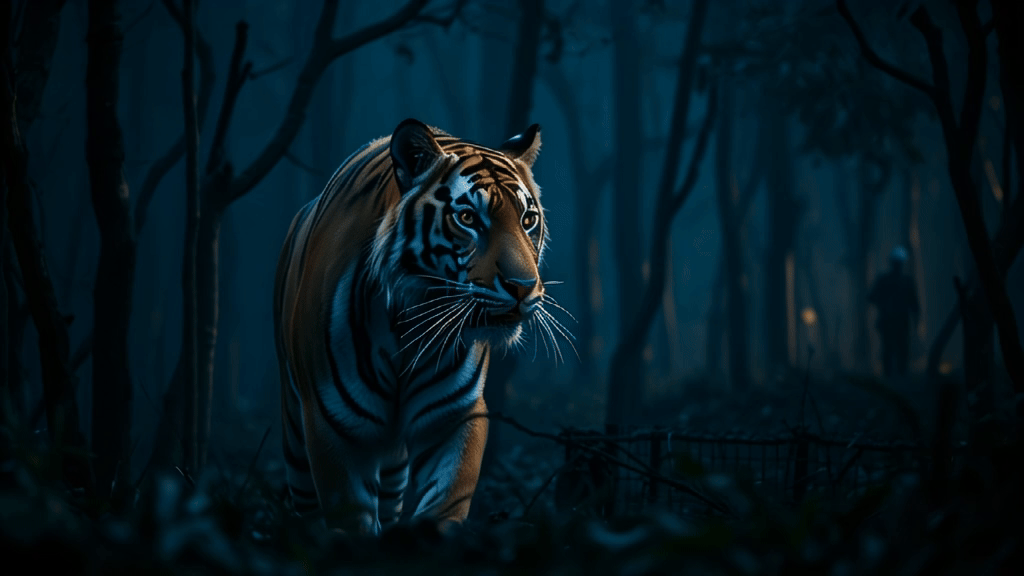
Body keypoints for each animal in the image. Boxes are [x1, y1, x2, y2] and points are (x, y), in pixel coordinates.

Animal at [273, 118, 567, 535]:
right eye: (468, 218)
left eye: (528, 220)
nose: (523, 287)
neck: (410, 327)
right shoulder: (333, 425)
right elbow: (351, 520)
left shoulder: (454, 414)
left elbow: (445, 503)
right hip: (296, 436)